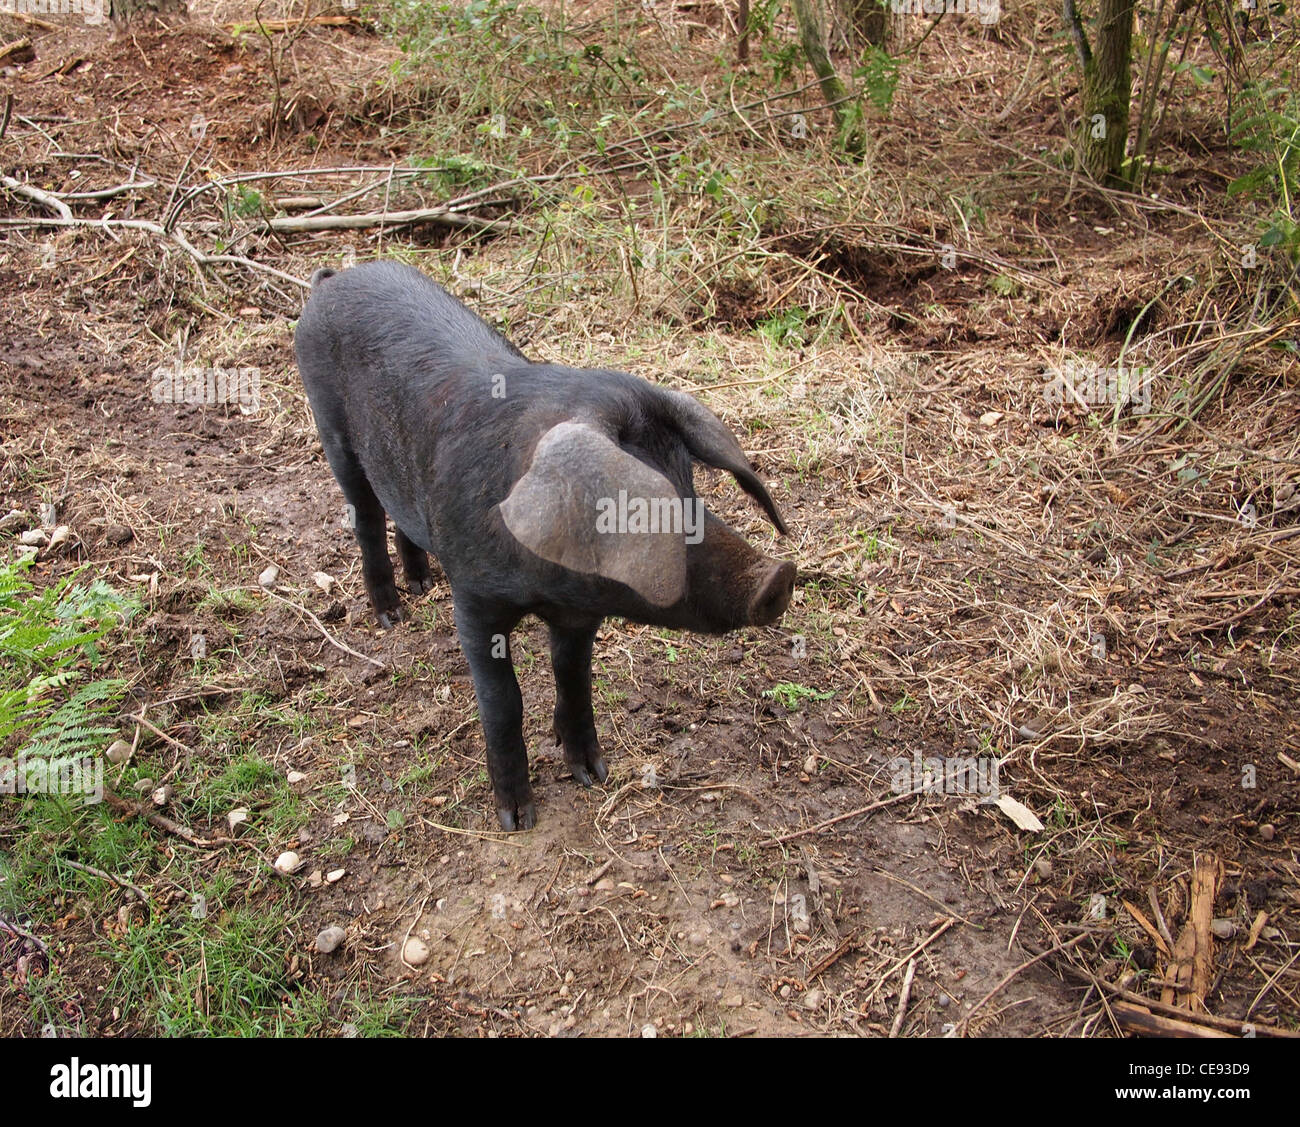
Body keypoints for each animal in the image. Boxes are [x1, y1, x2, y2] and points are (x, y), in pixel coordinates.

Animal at [294, 261, 795, 830]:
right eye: (635, 508)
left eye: (688, 483)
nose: (778, 576)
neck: (550, 586)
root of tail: (332, 279)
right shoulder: (474, 600)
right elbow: (502, 701)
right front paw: (517, 819)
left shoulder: (579, 616)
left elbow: (574, 677)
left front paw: (594, 774)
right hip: (333, 431)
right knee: (365, 516)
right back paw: (391, 616)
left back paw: (421, 585)